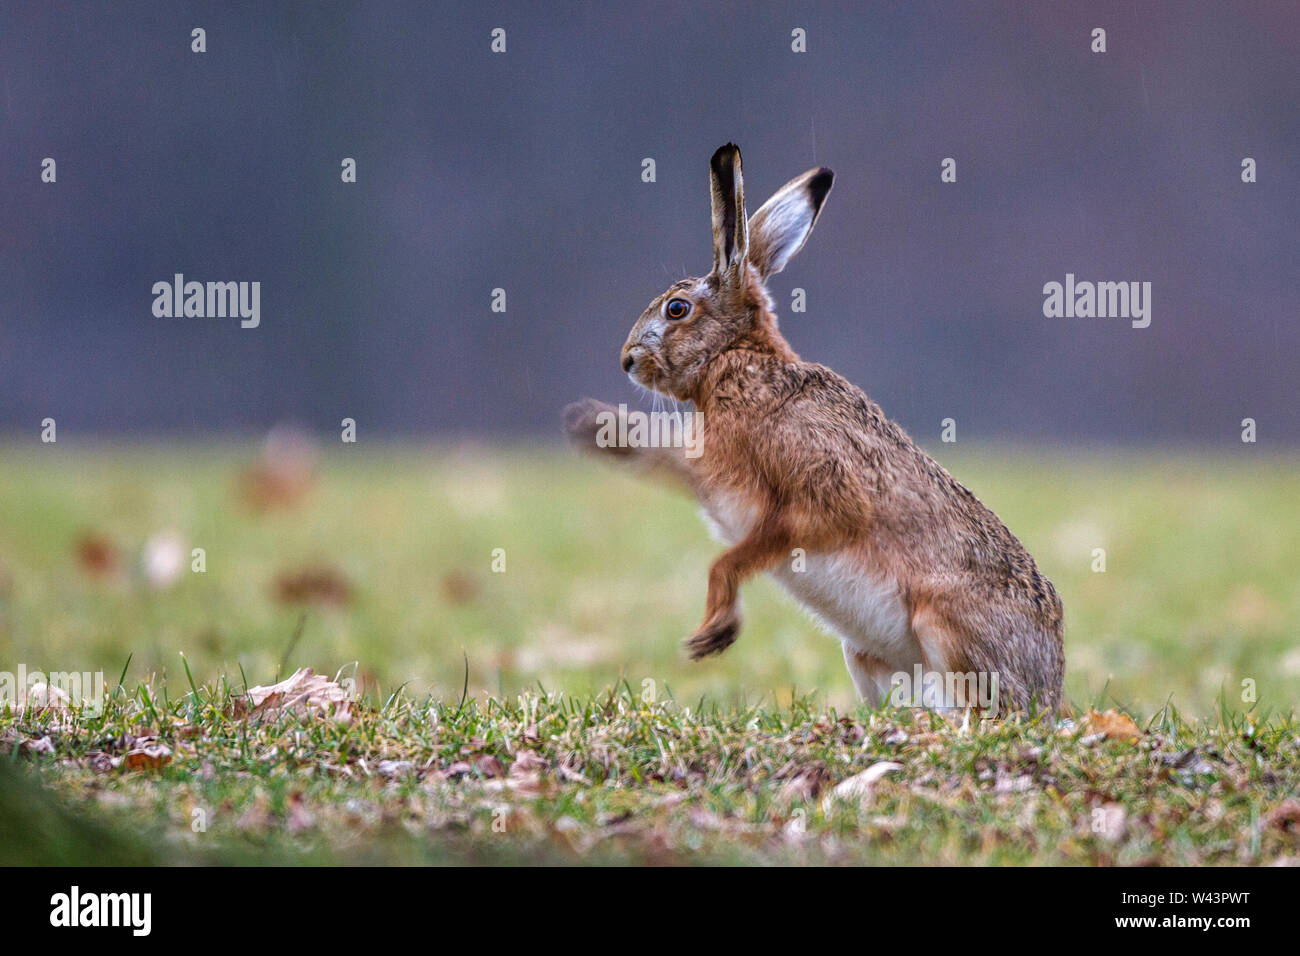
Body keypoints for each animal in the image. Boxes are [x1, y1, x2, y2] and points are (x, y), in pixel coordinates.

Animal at [564, 143, 1063, 713]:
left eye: (677, 309)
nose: (626, 360)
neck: (736, 359)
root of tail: (1050, 687)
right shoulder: (710, 474)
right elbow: (665, 462)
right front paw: (594, 427)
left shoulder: (819, 493)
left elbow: (733, 558)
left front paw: (715, 631)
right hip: (861, 654)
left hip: (942, 624)